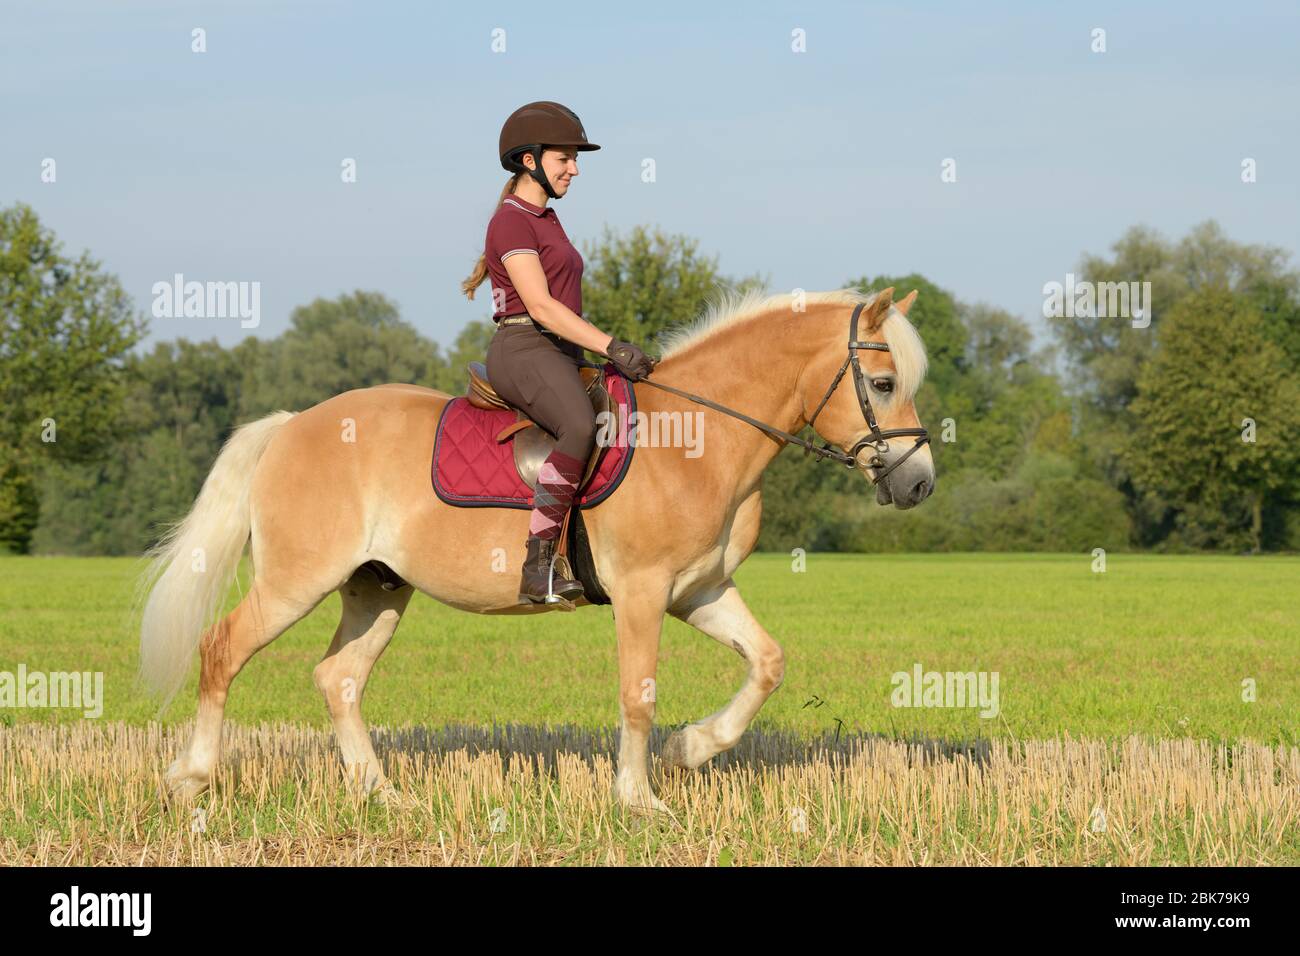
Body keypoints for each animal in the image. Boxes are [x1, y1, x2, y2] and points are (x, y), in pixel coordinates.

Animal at [138, 286, 934, 812]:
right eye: (884, 382)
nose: (919, 482)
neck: (697, 438)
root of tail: (292, 423)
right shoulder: (642, 593)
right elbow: (637, 695)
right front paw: (638, 800)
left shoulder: (697, 592)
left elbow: (767, 663)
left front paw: (692, 749)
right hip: (295, 581)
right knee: (222, 650)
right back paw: (191, 779)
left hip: (377, 587)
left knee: (339, 678)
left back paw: (382, 793)